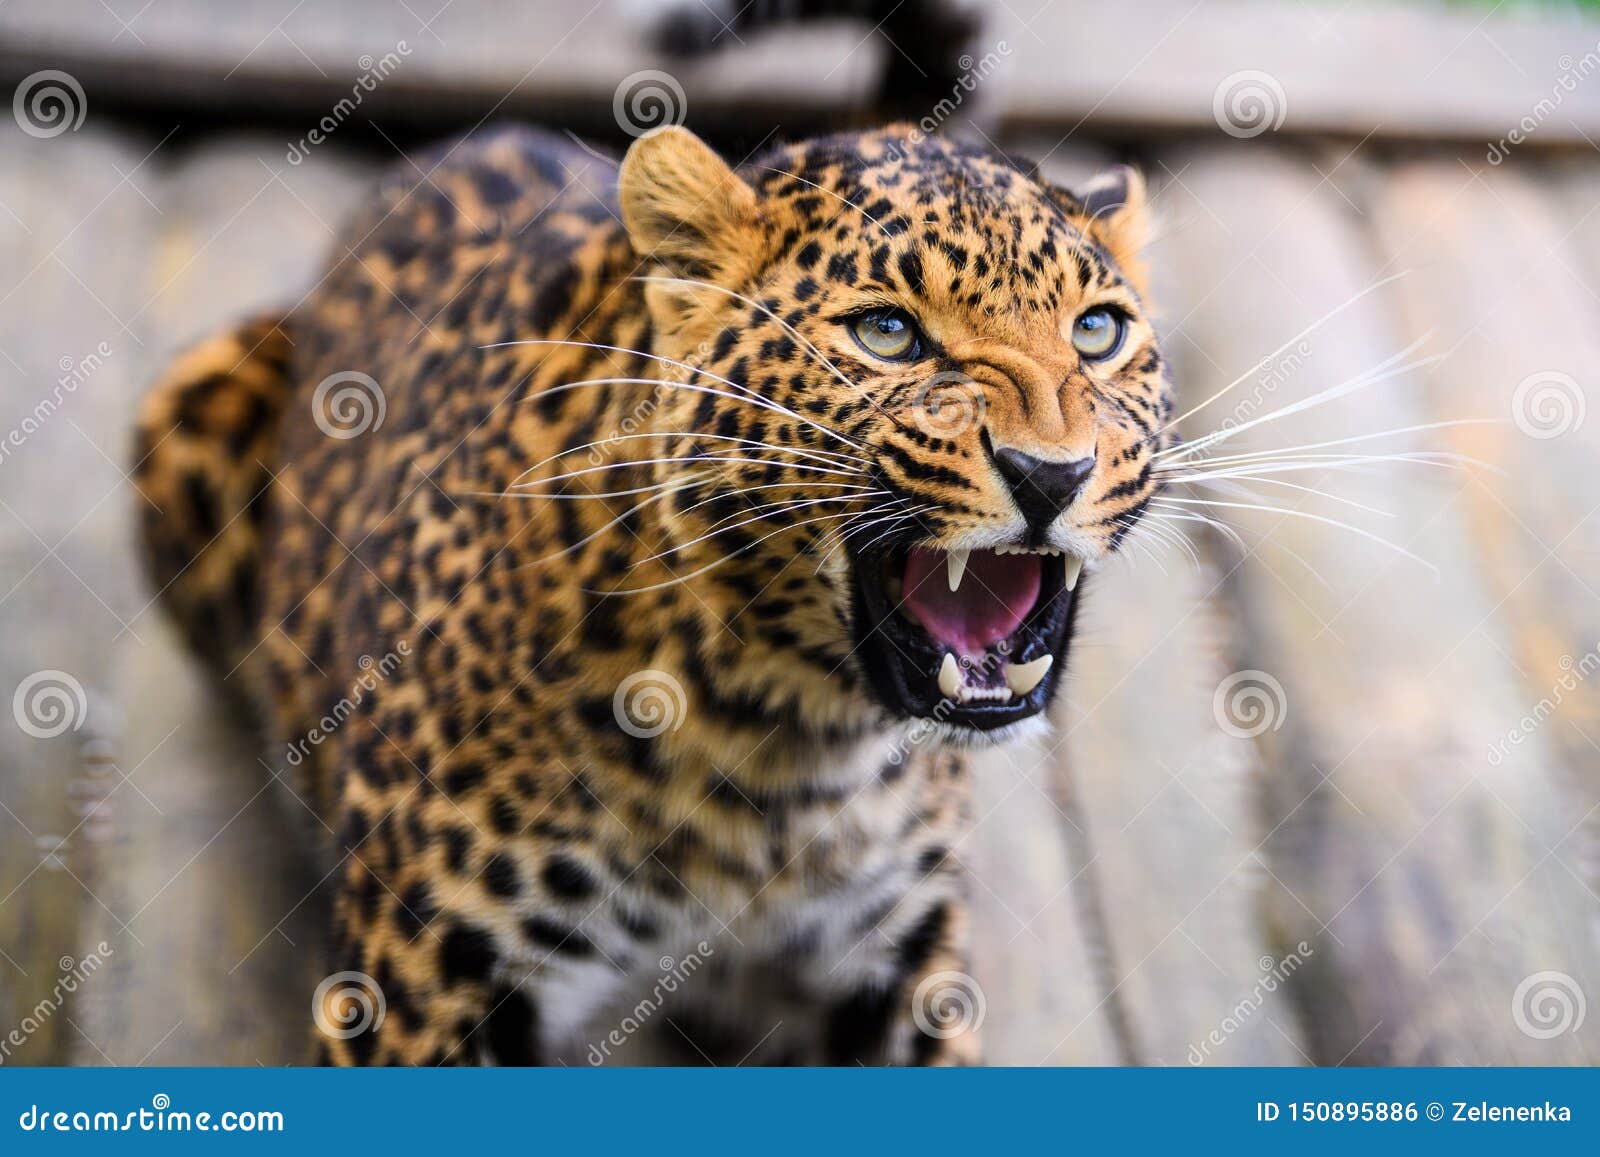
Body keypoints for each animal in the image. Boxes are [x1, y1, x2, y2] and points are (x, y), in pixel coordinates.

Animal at [131, 121, 1169, 1065]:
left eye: (1097, 331)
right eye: (887, 333)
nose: (1051, 475)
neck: (787, 754)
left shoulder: (901, 958)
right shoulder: (419, 985)